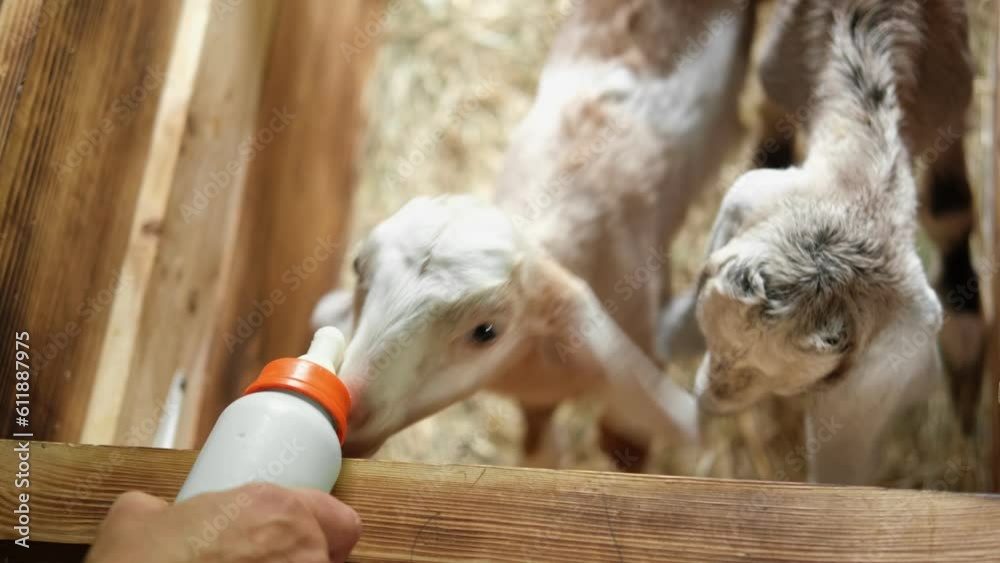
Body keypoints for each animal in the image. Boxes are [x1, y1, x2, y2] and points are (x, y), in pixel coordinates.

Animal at [664, 0, 973, 484]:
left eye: (784, 379)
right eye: (712, 341)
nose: (707, 400)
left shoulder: (954, 100)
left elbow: (951, 209)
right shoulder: (776, 76)